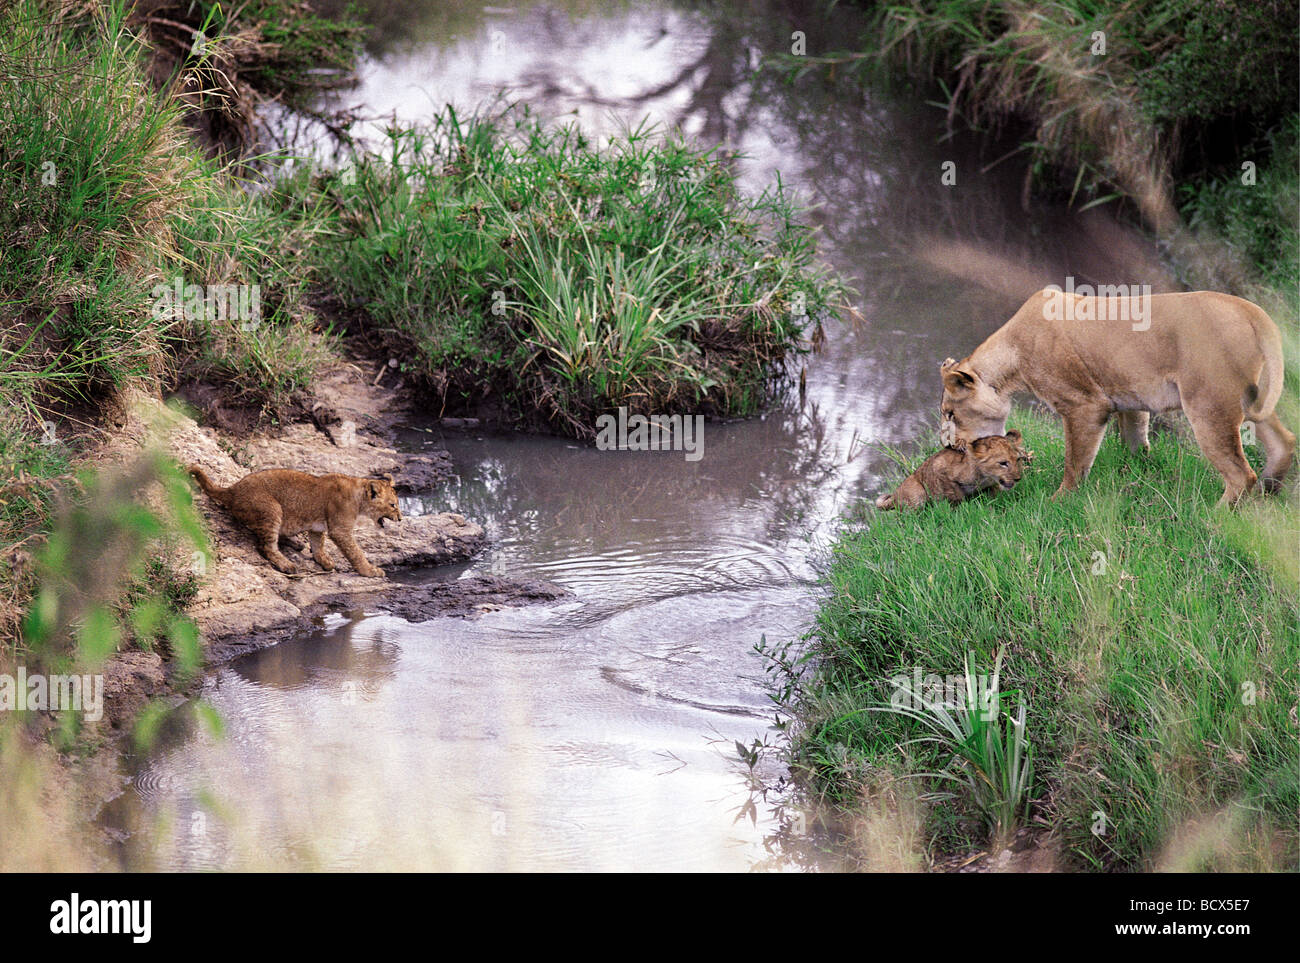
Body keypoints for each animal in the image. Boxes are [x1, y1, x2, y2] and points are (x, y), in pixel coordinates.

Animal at [188, 467, 401, 577]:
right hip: (272, 509)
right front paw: (370, 570)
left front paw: (324, 561)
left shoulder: (317, 527)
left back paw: (296, 543)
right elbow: (355, 553)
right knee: (266, 546)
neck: (359, 497)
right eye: (392, 505)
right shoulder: (340, 530)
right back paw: (286, 564)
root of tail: (232, 490)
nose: (400, 518)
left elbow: (318, 545)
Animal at [876, 432, 1030, 510]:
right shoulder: (940, 469)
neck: (985, 477)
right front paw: (960, 510)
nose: (1018, 478)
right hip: (915, 491)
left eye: (1018, 459)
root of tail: (894, 496)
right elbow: (955, 495)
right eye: (1003, 463)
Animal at [939, 289, 1294, 506]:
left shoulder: (1083, 406)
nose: (948, 446)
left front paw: (1058, 501)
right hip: (1252, 401)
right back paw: (1269, 491)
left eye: (950, 413)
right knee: (1284, 441)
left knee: (1240, 474)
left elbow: (1075, 462)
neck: (1011, 358)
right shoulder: (1130, 402)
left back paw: (1216, 517)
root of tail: (1251, 309)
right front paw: (1136, 474)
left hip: (1209, 405)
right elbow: (1135, 444)